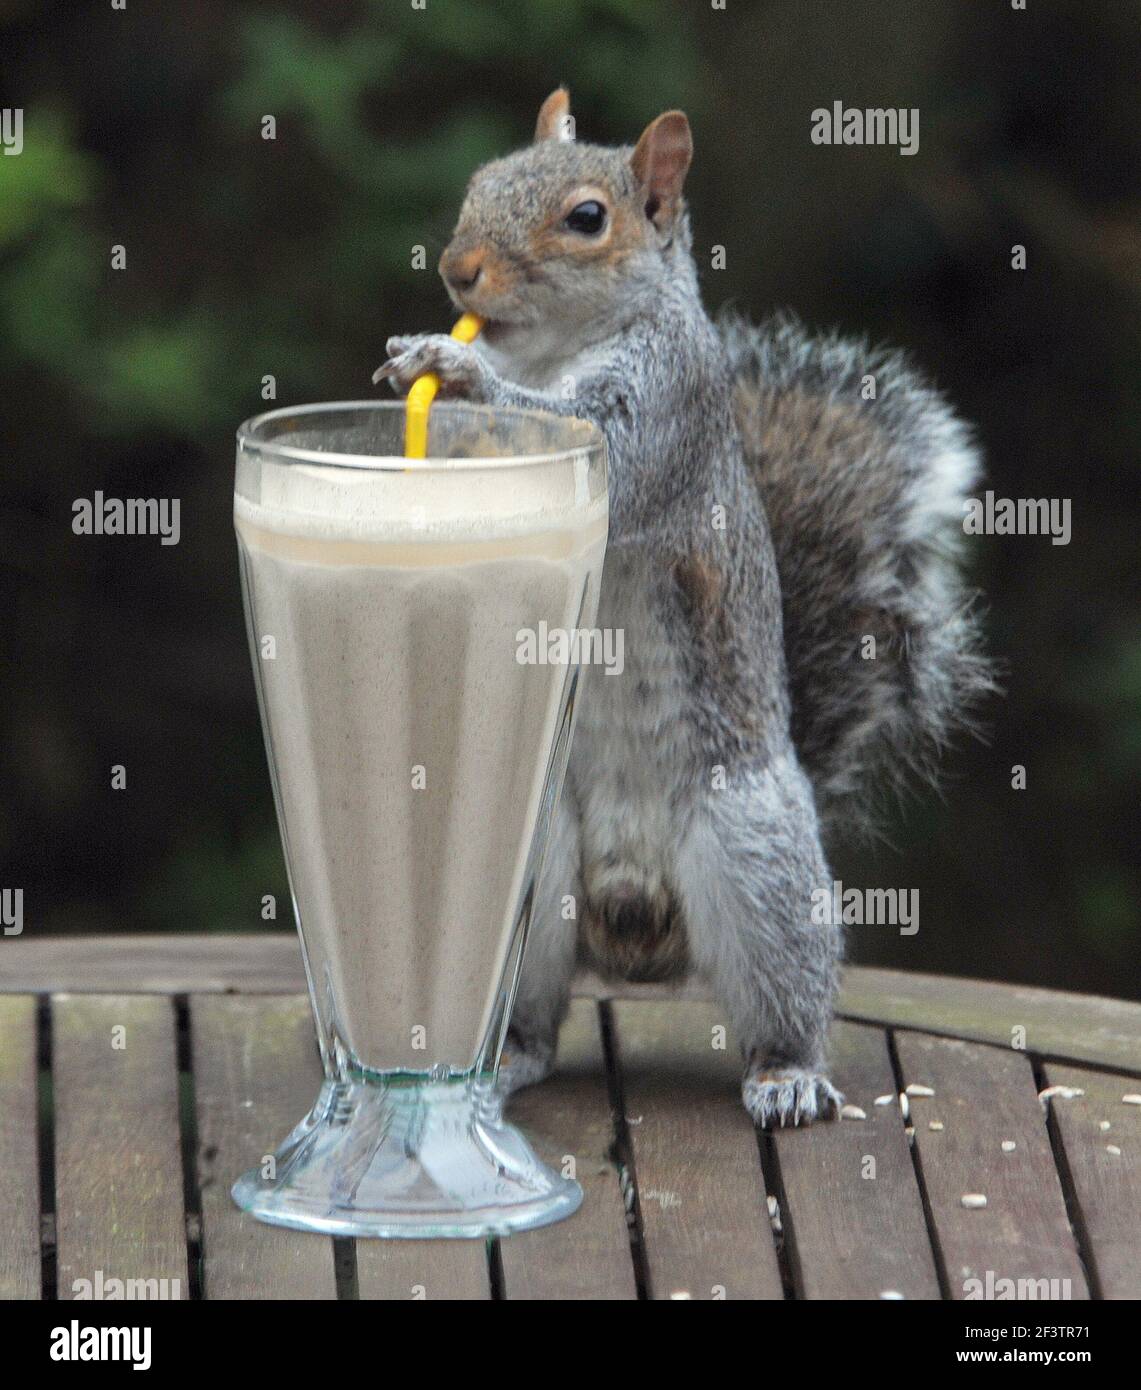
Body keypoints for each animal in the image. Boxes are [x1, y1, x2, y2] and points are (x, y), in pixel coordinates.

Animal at [375, 89, 993, 1127]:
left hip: (755, 857)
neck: (551, 351)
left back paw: (787, 1075)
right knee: (534, 1014)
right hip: (533, 870)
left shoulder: (662, 404)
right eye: (482, 182)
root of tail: (637, 925)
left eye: (587, 218)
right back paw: (507, 1063)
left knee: (786, 996)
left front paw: (459, 374)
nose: (458, 271)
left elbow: (603, 453)